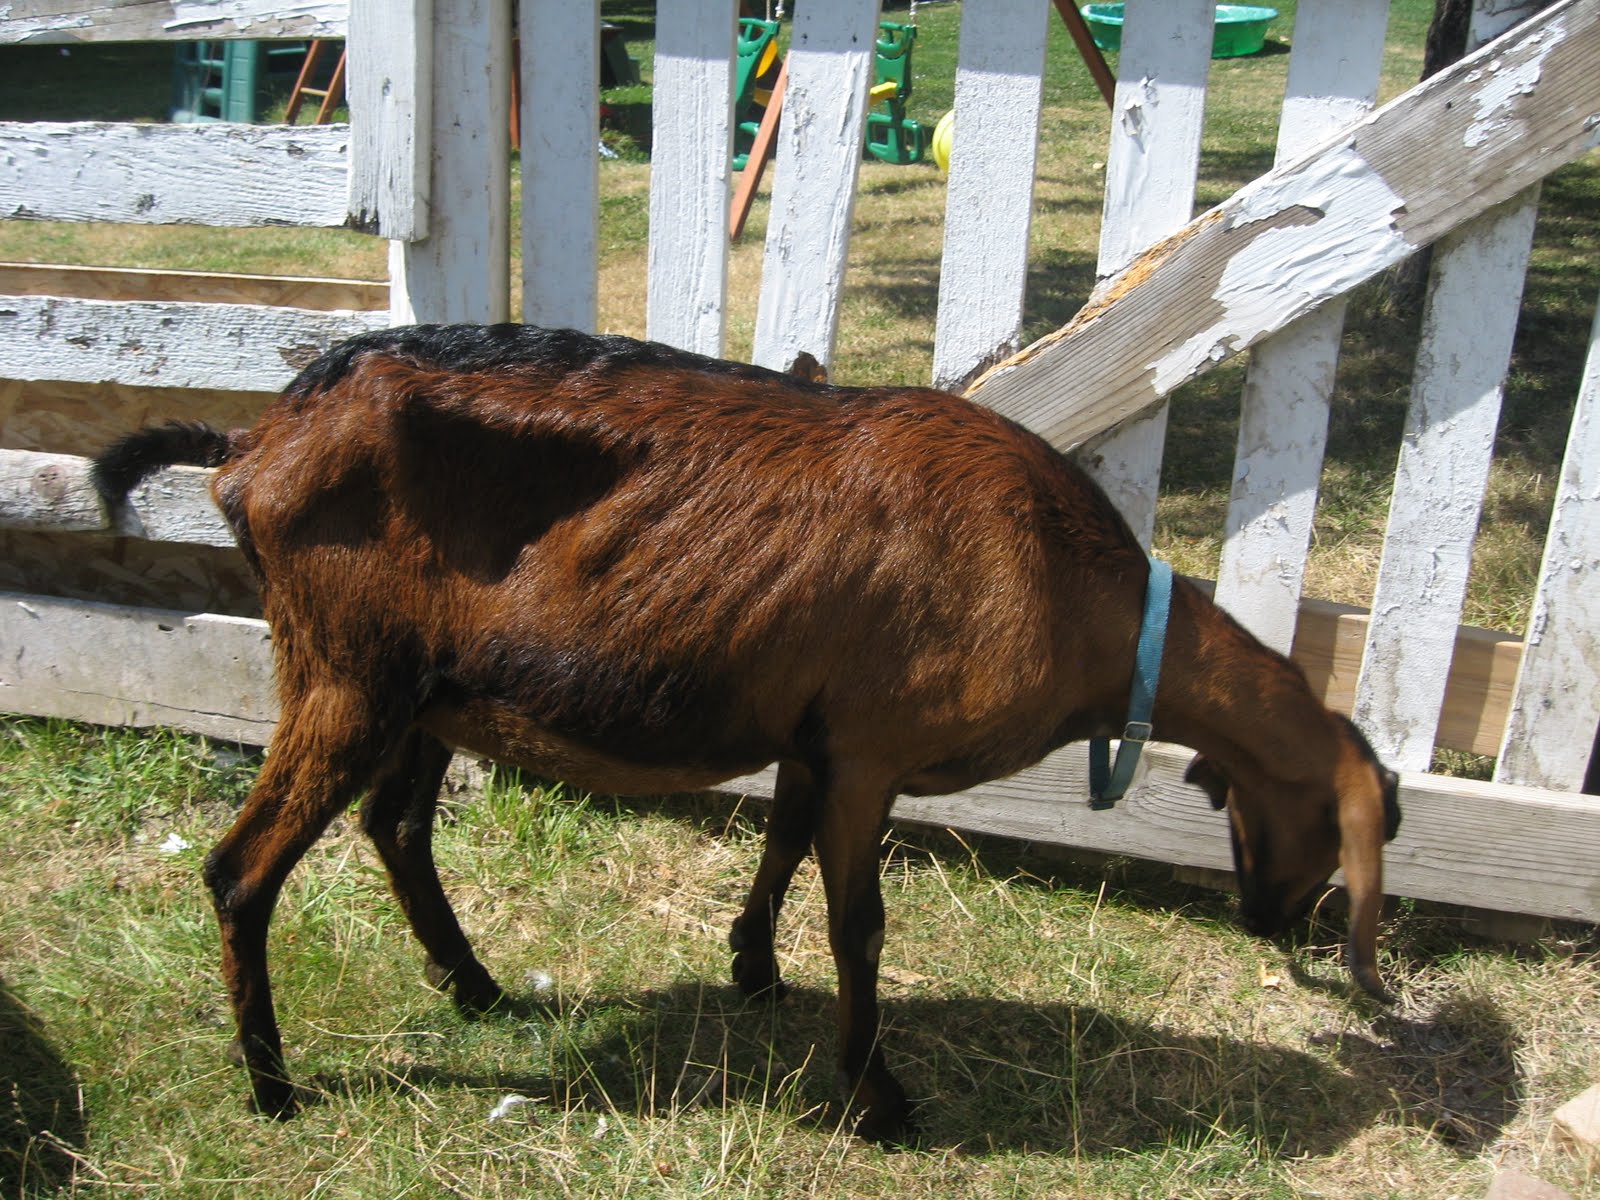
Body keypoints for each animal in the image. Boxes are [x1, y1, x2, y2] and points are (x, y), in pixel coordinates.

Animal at [94, 323, 1400, 1142]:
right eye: (1360, 830)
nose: (1269, 921)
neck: (1075, 587)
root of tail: (253, 447)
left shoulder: (814, 732)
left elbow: (778, 846)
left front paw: (753, 969)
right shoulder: (870, 747)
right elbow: (859, 923)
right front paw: (878, 1098)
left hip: (421, 689)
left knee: (396, 826)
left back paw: (474, 986)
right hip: (345, 671)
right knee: (241, 868)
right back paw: (273, 1086)